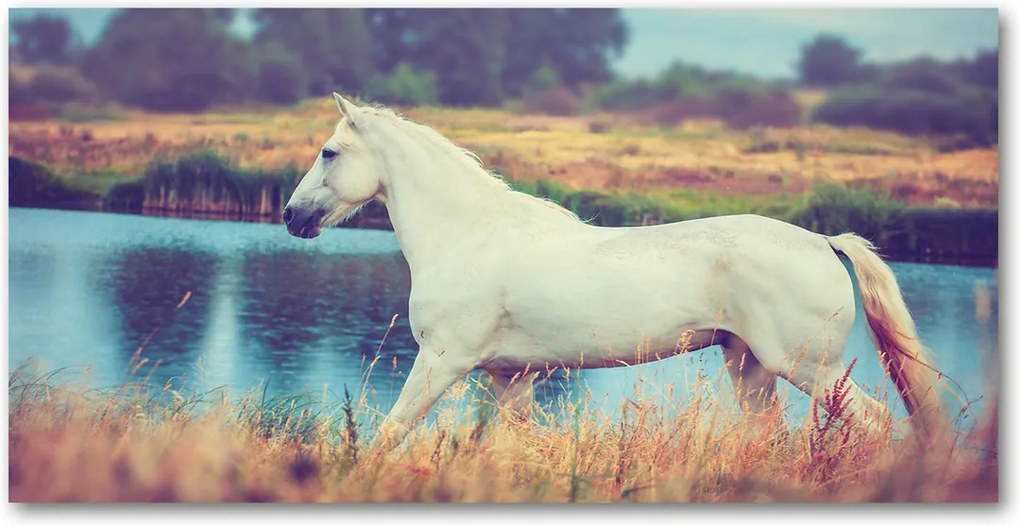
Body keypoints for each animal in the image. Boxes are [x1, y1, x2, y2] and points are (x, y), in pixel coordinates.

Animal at [281, 95, 946, 448]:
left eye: (328, 153)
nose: (291, 216)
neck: (470, 234)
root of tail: (824, 242)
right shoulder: (507, 377)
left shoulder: (443, 362)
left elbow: (388, 436)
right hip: (750, 367)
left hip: (809, 368)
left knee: (876, 422)